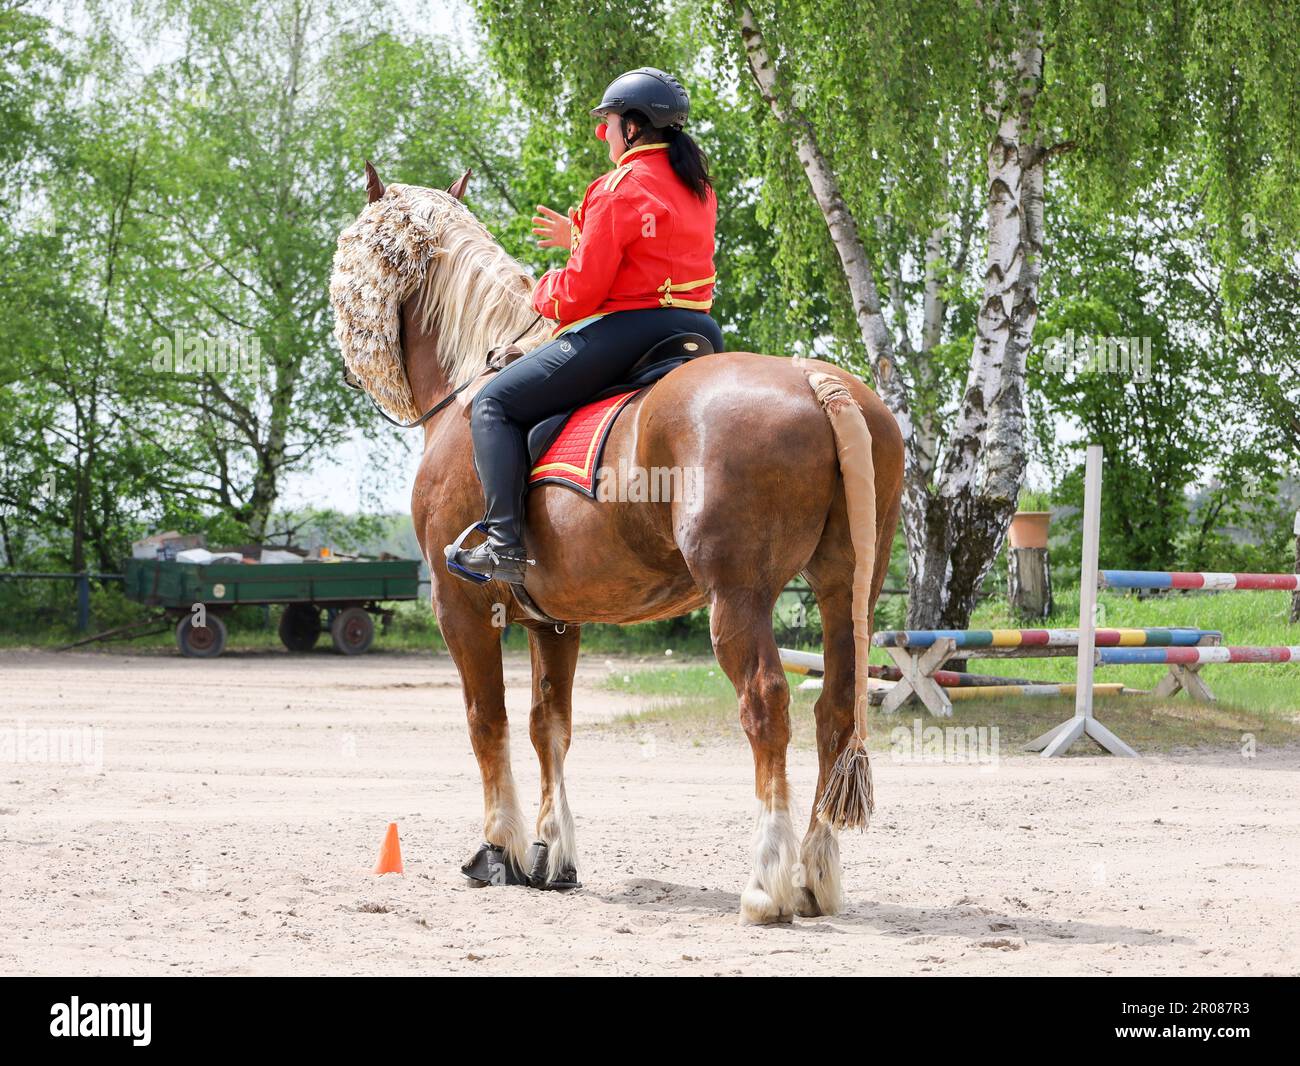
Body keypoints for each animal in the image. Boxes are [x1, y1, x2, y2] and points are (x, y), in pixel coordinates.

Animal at [329, 164, 904, 924]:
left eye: (353, 251)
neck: (472, 388)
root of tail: (818, 381)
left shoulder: (461, 606)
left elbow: (489, 721)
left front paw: (498, 850)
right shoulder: (555, 620)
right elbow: (549, 725)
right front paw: (551, 854)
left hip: (738, 599)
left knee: (766, 705)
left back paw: (767, 881)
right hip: (846, 592)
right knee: (833, 710)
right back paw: (814, 874)